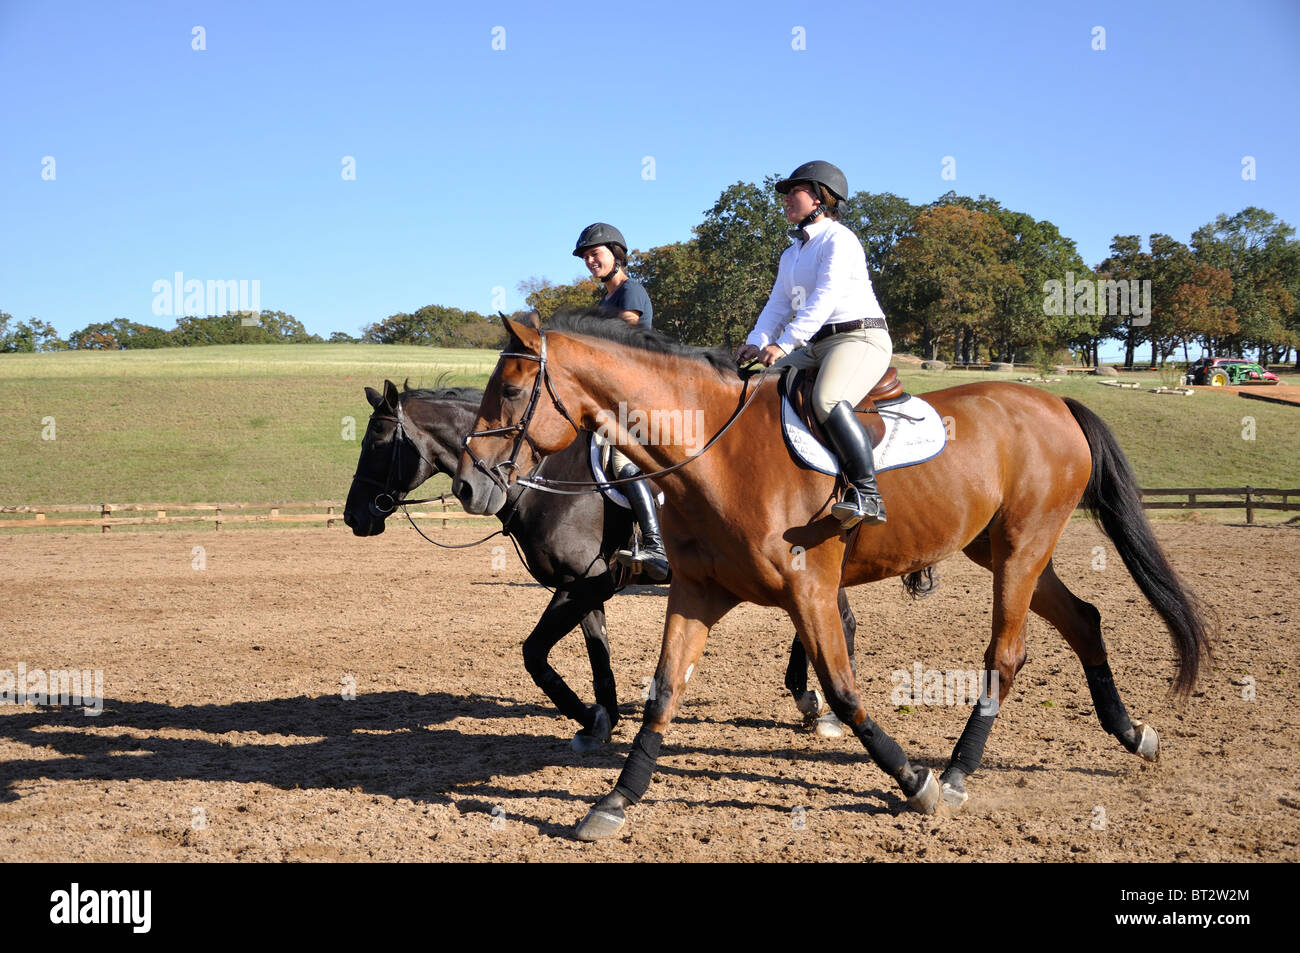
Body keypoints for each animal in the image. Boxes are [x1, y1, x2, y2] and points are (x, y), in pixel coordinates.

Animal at [342, 378, 855, 751]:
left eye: (378, 442)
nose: (353, 516)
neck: (538, 477)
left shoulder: (583, 584)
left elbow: (534, 653)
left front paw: (588, 714)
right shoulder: (584, 590)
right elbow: (598, 656)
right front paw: (601, 720)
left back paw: (819, 705)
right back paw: (814, 701)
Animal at [452, 310, 1212, 841]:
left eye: (511, 388)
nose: (467, 485)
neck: (714, 452)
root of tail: (1055, 405)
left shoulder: (810, 590)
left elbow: (844, 691)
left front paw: (914, 782)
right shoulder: (698, 592)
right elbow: (663, 692)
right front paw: (612, 801)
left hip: (1022, 549)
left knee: (1006, 653)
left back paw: (957, 772)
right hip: (1002, 549)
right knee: (1084, 620)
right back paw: (1132, 733)